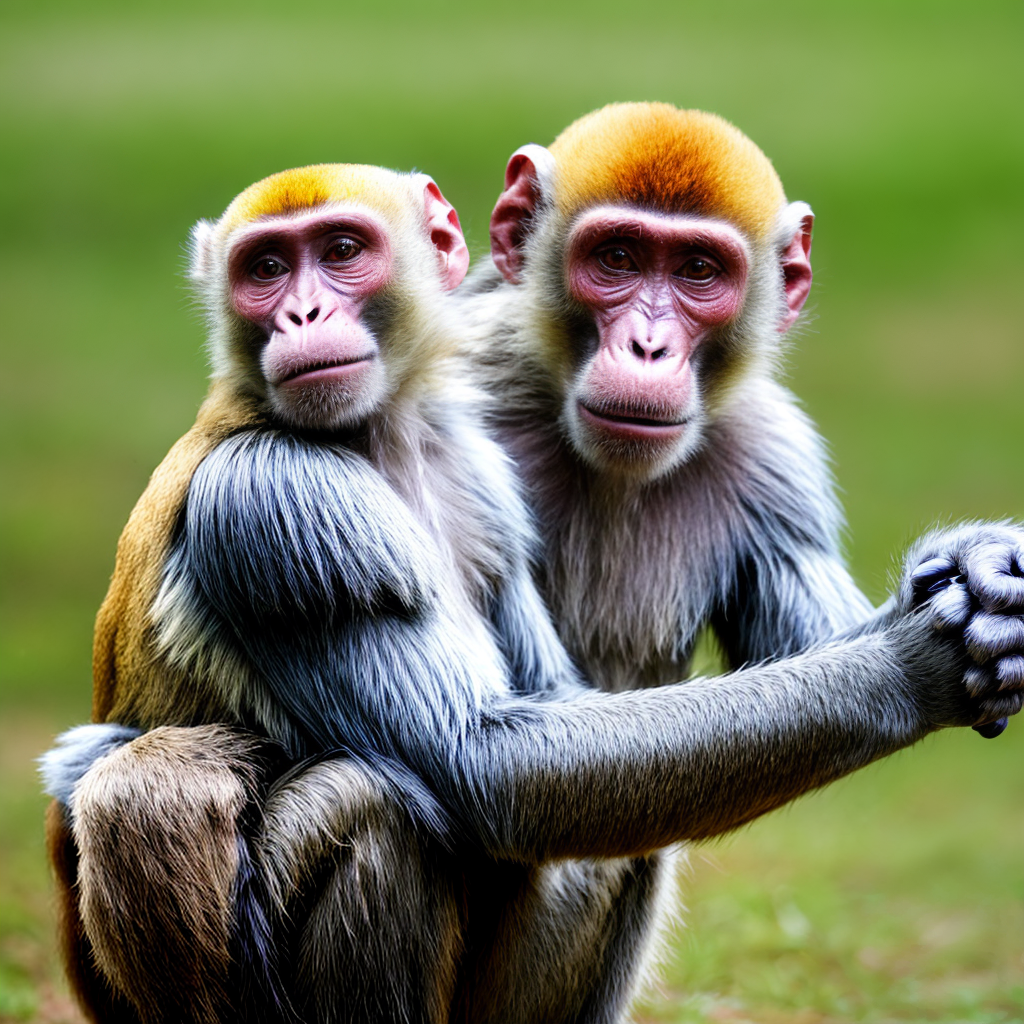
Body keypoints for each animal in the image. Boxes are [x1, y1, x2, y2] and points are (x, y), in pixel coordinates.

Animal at [40, 154, 1024, 1024]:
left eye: (344, 250)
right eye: (266, 269)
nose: (303, 311)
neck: (377, 440)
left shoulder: (491, 473)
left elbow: (558, 709)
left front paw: (978, 572)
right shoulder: (278, 505)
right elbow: (479, 761)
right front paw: (919, 660)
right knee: (342, 803)